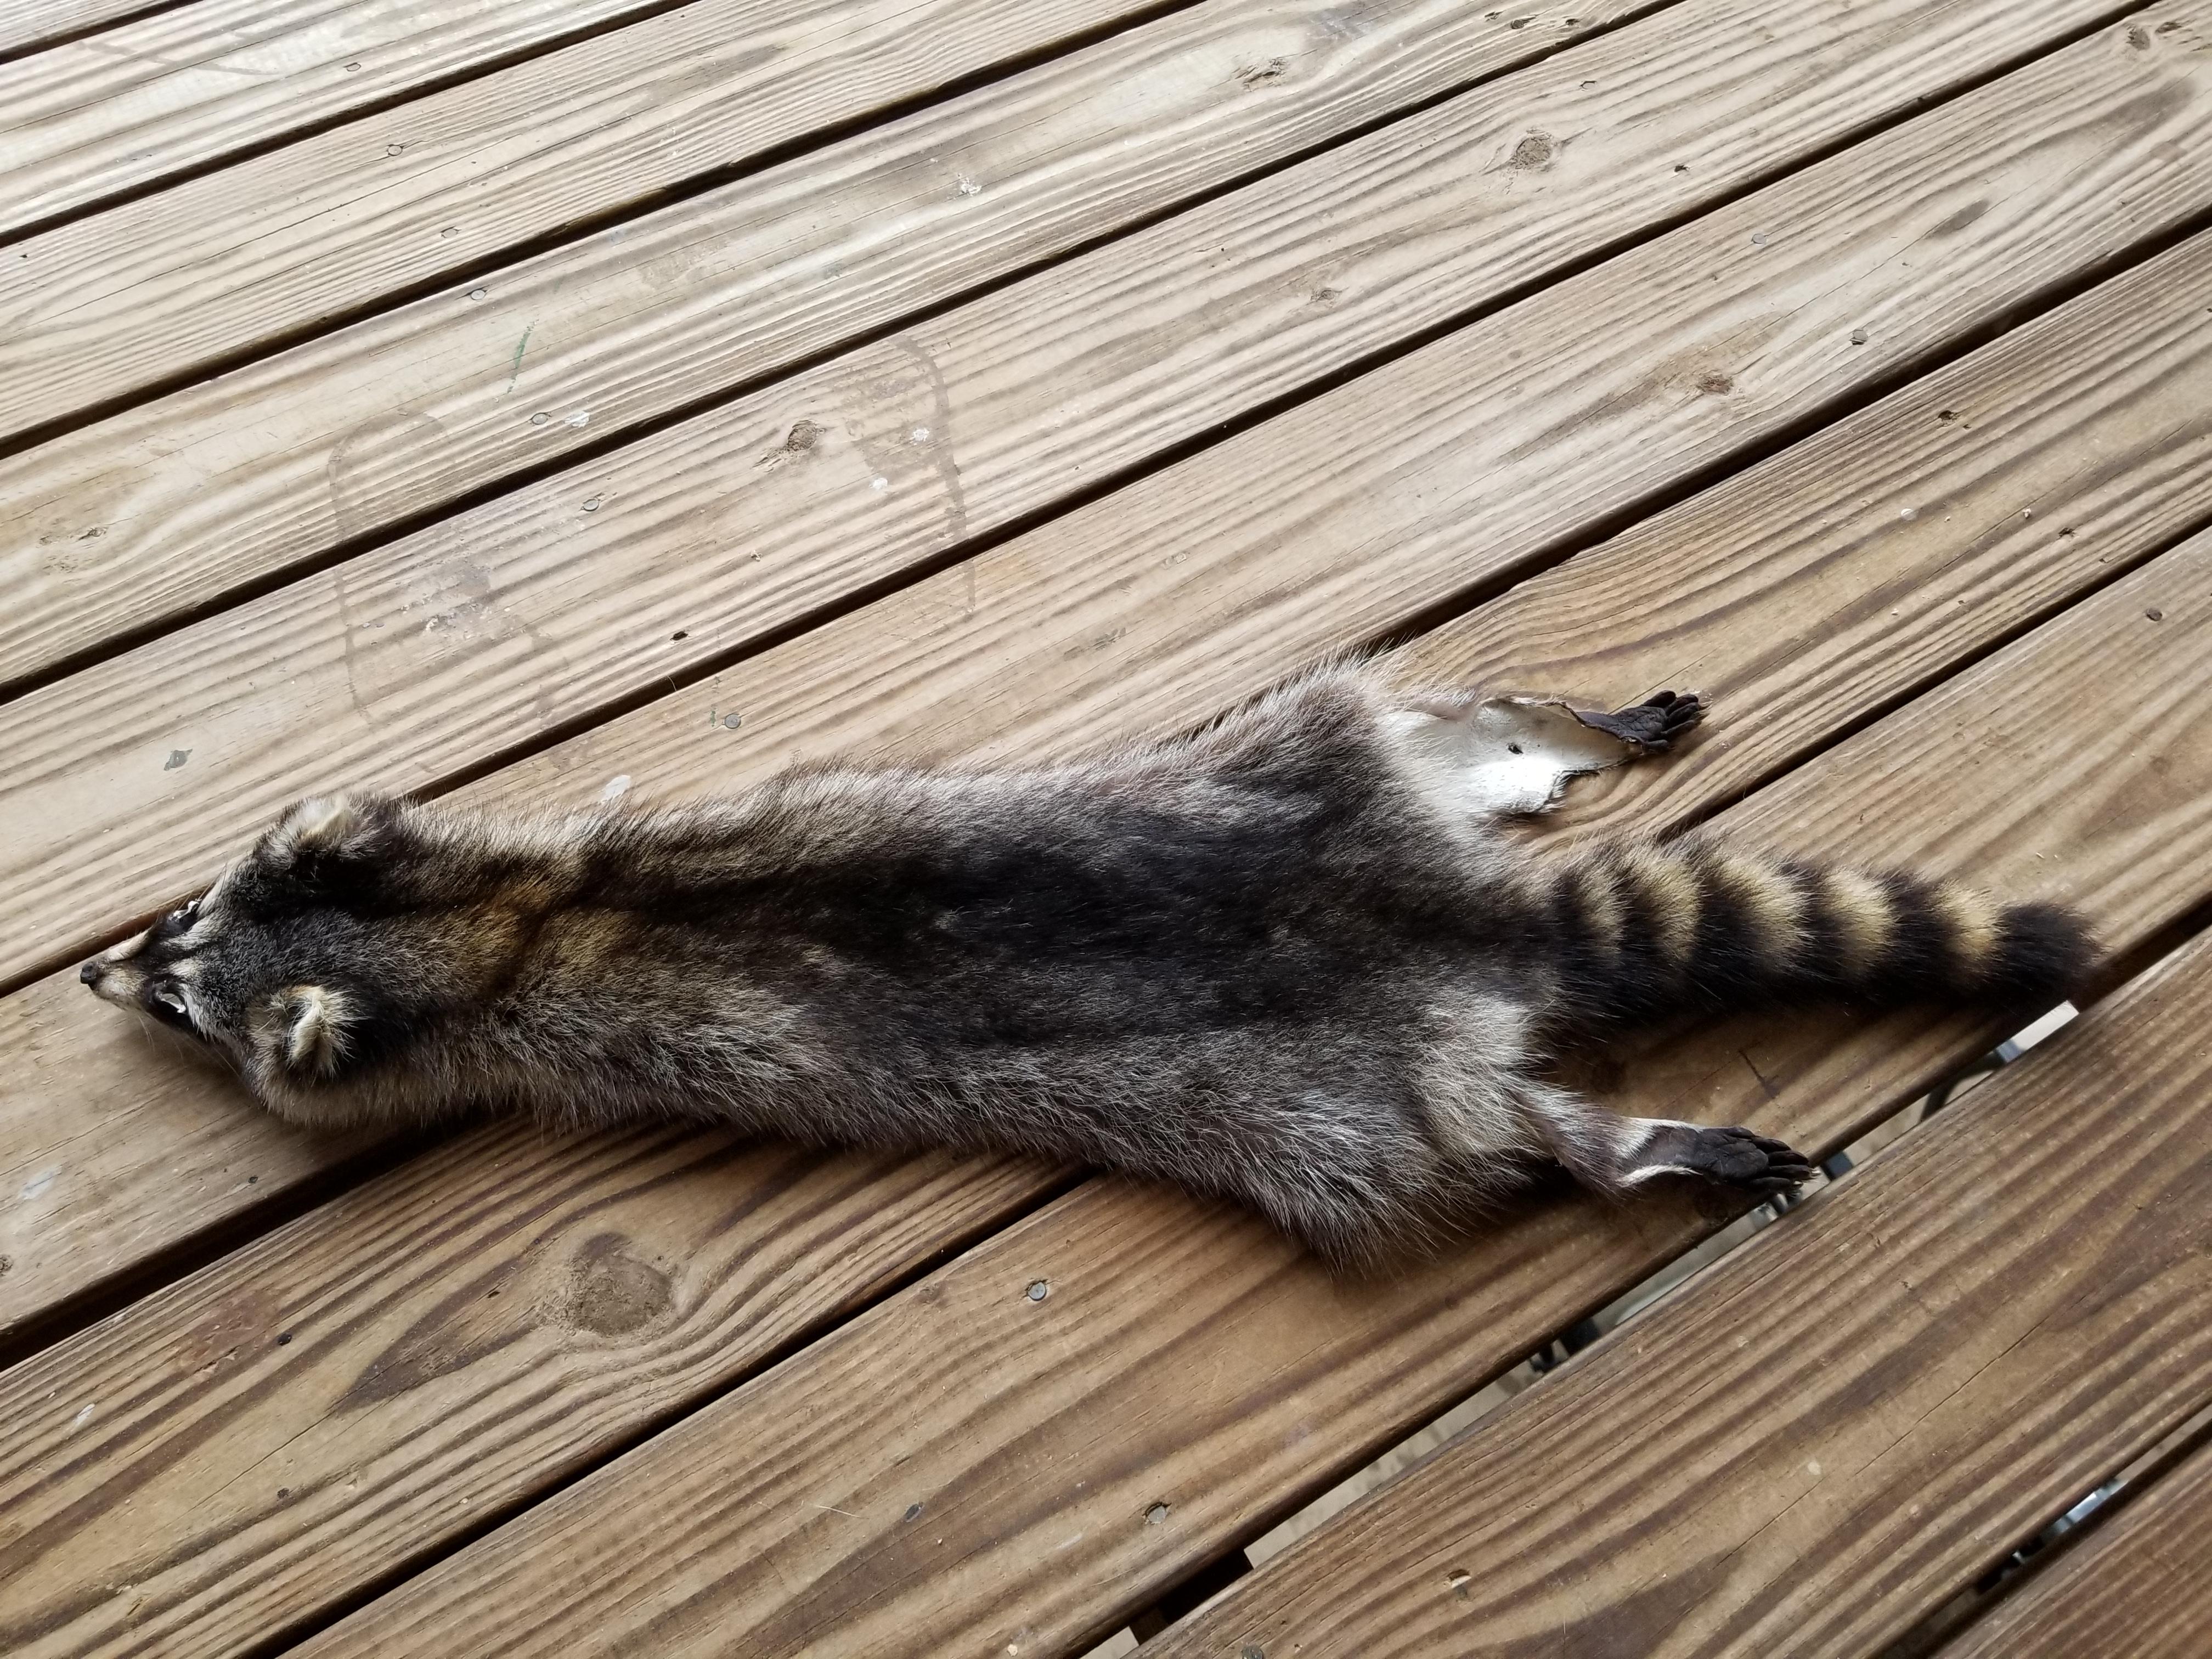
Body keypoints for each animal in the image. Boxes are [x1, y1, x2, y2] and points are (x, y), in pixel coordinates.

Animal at [82, 662, 2089, 1267]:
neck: (490, 918)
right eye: (177, 931)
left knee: (1508, 1140)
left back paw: (1625, 1147)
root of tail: (1448, 915)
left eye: (178, 986)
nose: (96, 976)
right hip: (1303, 760)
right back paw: (1545, 729)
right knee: (1410, 715)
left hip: (1341, 1104)